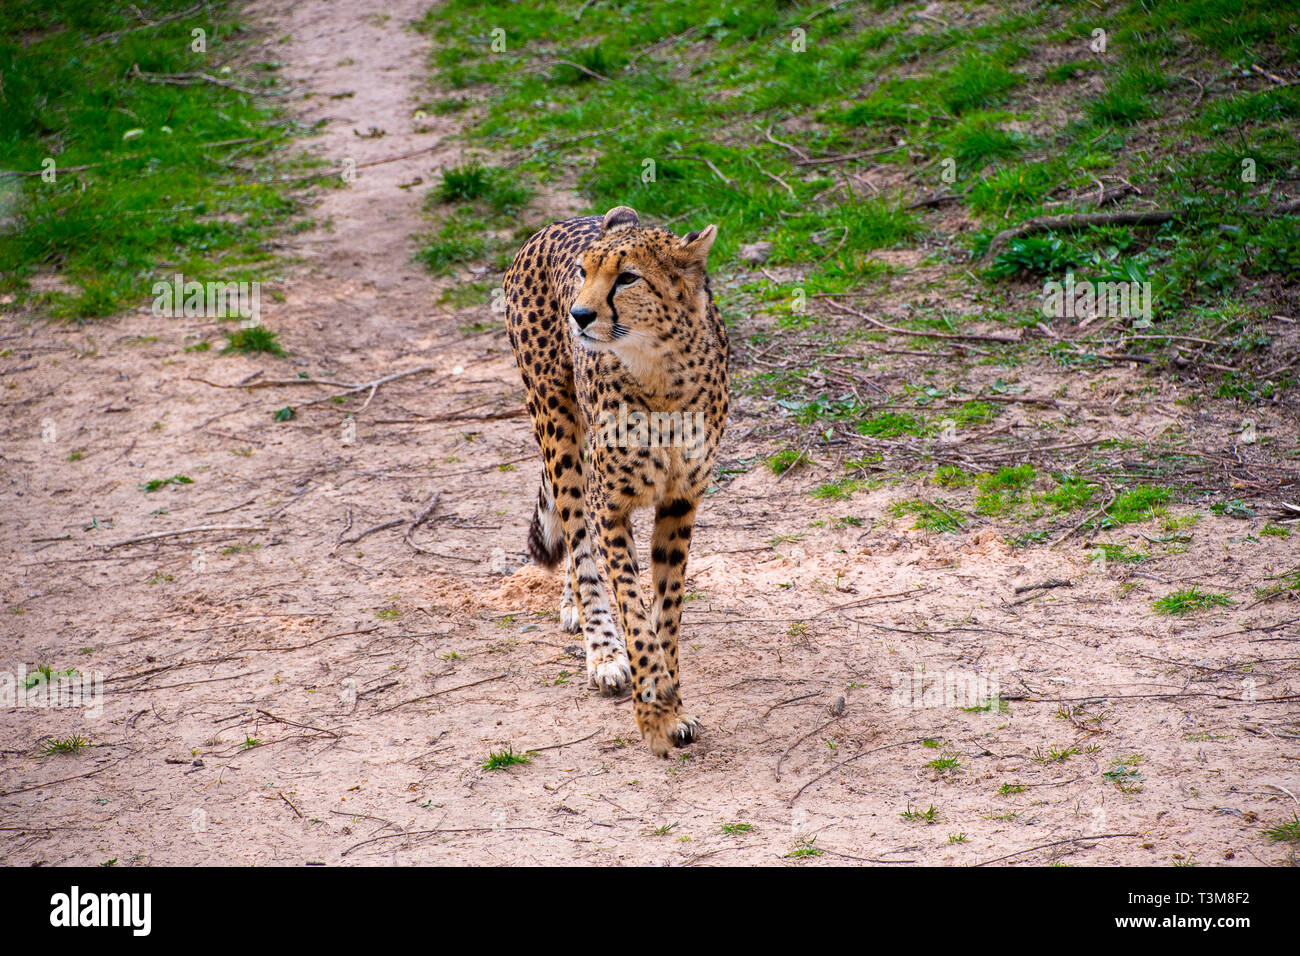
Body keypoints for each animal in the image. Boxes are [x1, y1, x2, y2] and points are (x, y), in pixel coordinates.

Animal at [502, 205, 729, 756]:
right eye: (584, 273)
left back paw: (573, 607)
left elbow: (666, 611)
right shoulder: (614, 506)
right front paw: (654, 710)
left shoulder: (681, 501)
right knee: (576, 528)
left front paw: (671, 700)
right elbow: (632, 605)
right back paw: (601, 647)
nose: (579, 316)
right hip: (556, 423)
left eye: (628, 278)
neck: (662, 374)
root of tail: (557, 222)